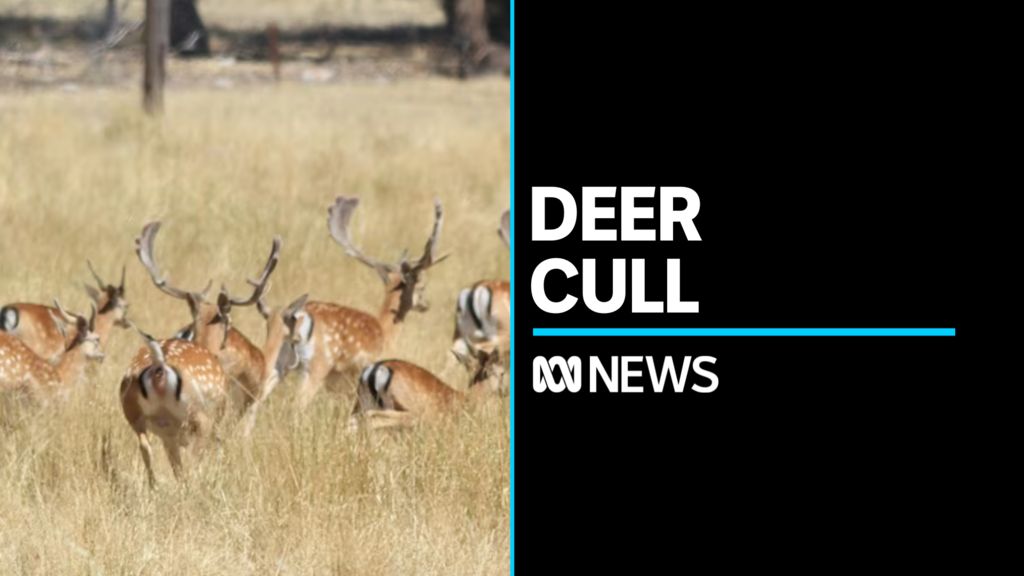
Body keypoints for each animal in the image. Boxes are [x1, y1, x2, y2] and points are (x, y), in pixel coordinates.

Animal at [119, 323, 228, 487]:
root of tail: (159, 368)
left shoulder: (168, 435)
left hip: (135, 415)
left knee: (146, 447)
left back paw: (154, 486)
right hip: (201, 417)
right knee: (194, 457)